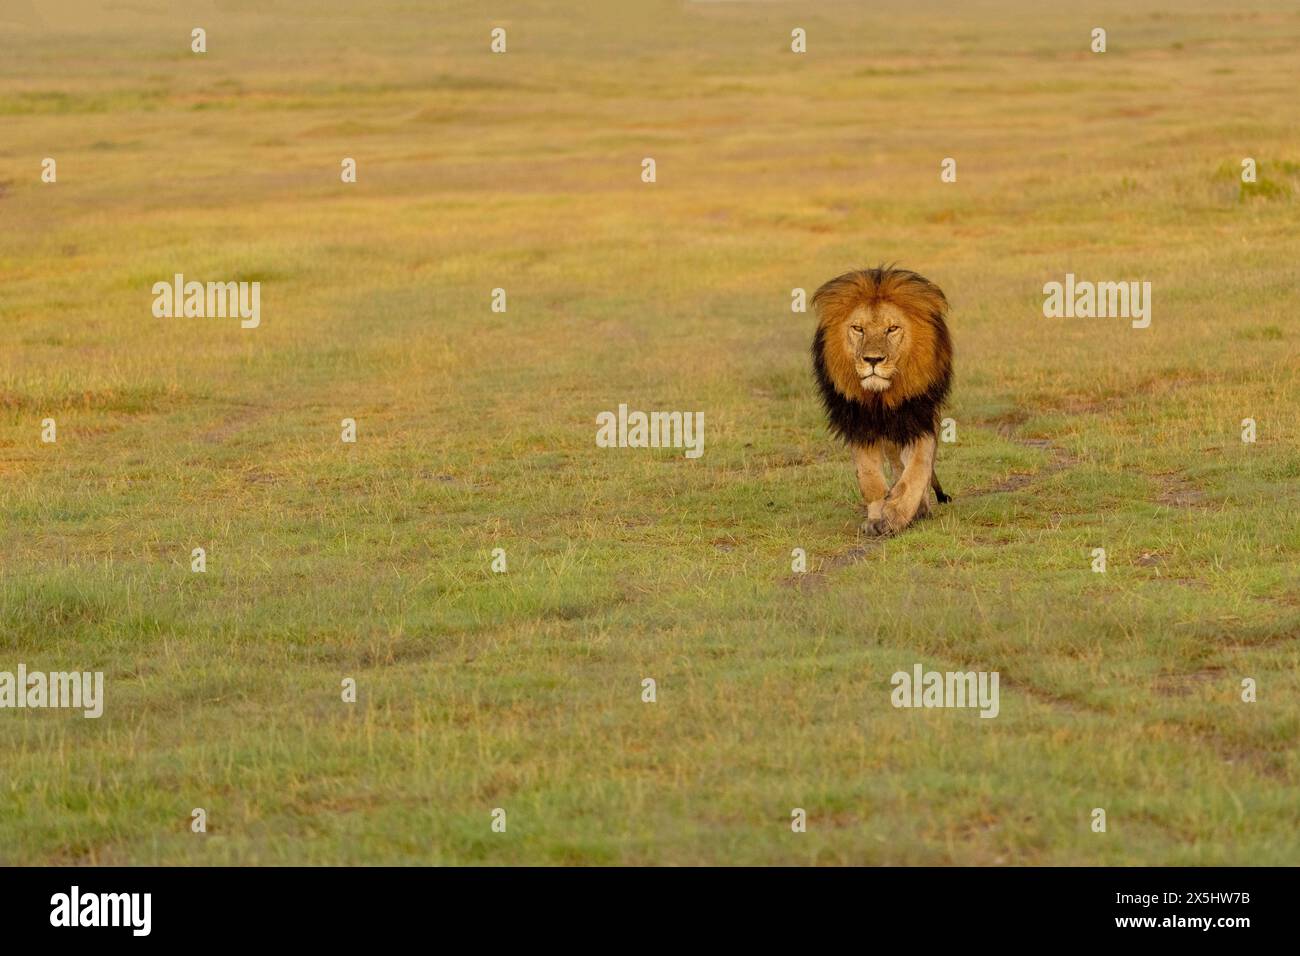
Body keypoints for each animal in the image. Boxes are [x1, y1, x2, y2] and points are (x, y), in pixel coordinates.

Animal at [811, 266, 953, 537]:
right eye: (858, 329)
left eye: (892, 329)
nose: (873, 360)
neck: (881, 396)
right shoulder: (859, 422)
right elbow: (869, 477)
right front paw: (877, 517)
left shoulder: (919, 416)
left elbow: (917, 468)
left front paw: (898, 514)